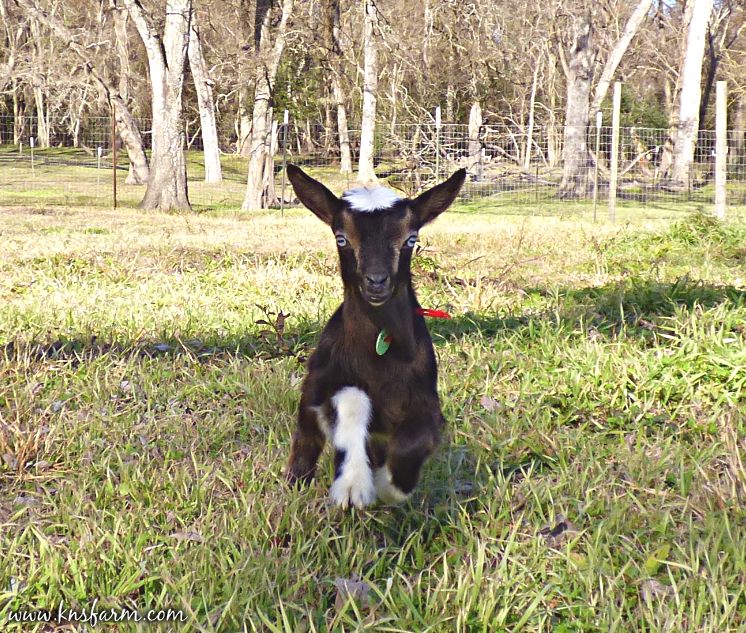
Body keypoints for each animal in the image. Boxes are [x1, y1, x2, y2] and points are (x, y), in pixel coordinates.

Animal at [285, 165, 466, 509]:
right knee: (306, 440)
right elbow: (352, 402)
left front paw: (388, 485)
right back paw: (296, 480)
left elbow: (417, 441)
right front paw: (353, 484)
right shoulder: (327, 385)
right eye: (341, 238)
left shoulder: (427, 401)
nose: (377, 282)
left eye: (411, 238)